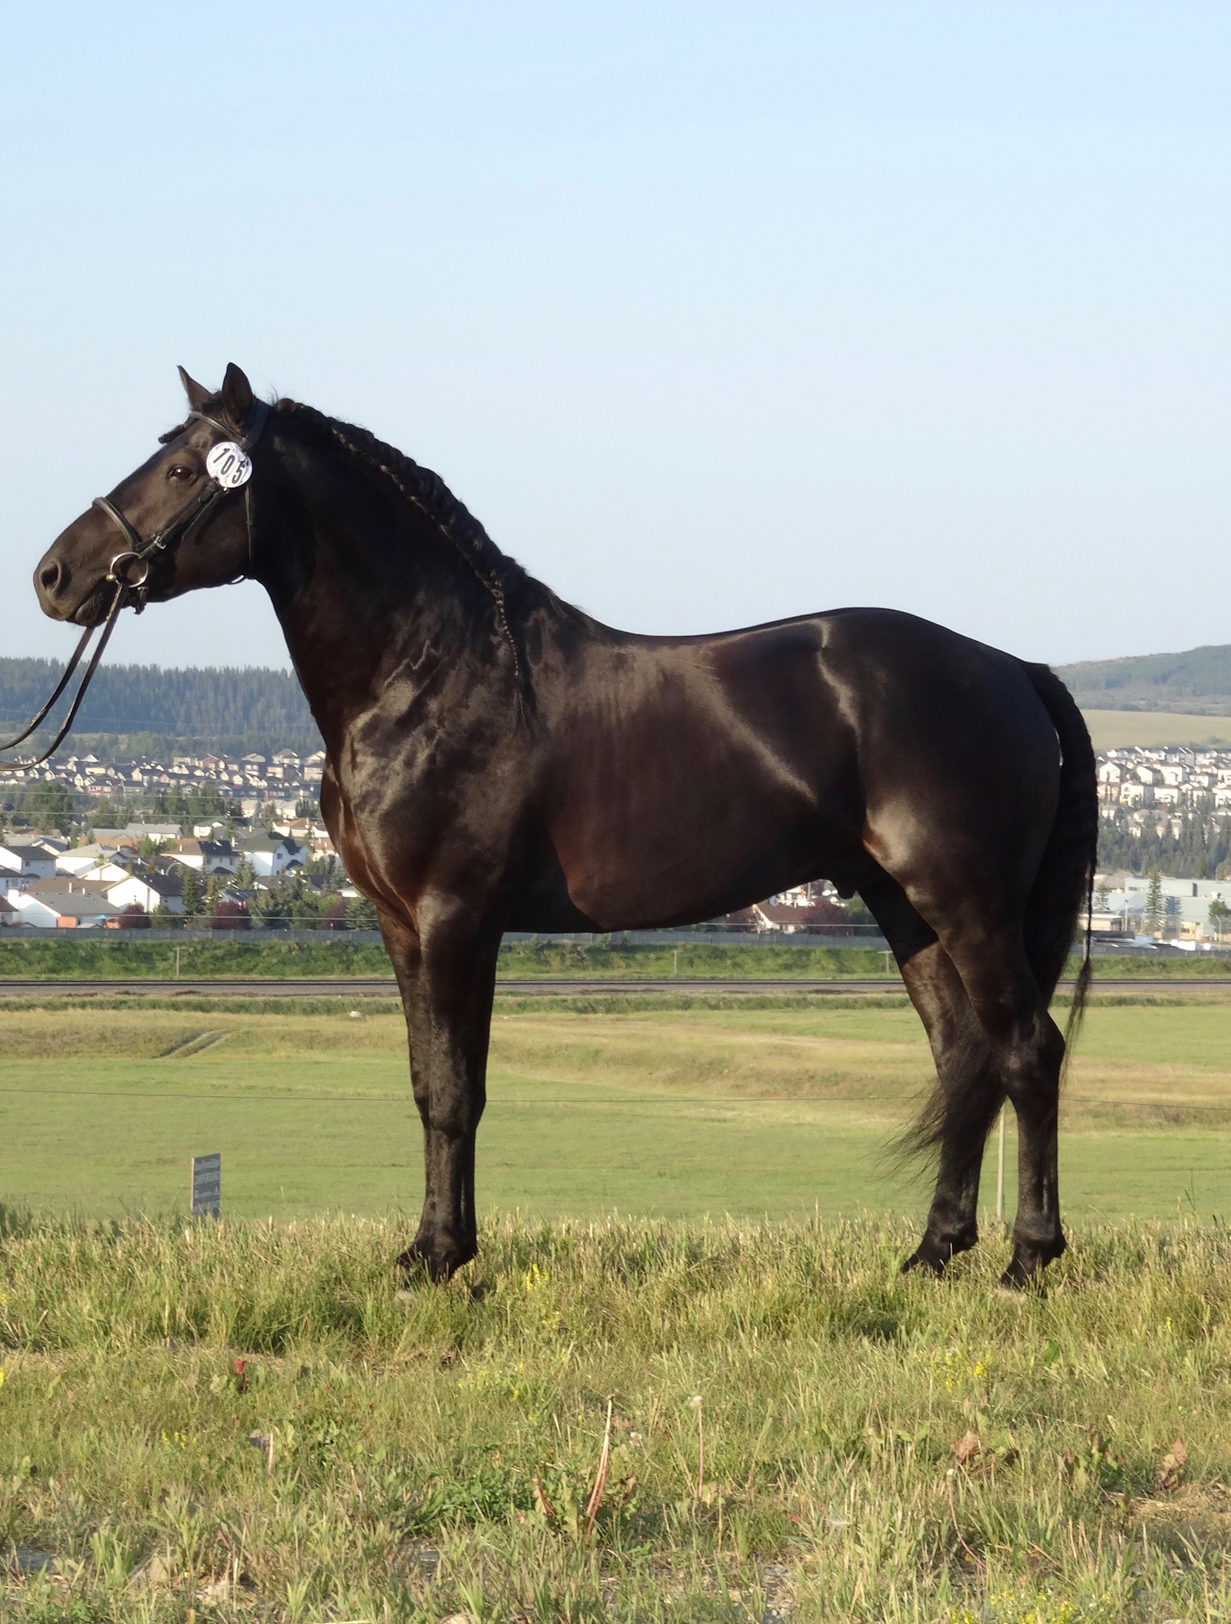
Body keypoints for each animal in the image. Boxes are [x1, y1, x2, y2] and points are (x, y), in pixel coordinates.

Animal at [32, 363, 1097, 1288]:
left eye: (182, 471)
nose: (54, 575)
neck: (432, 672)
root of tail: (1011, 669)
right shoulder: (401, 925)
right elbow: (433, 1085)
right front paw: (434, 1249)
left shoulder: (456, 917)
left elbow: (455, 1091)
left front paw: (441, 1260)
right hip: (903, 906)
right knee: (965, 1061)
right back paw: (931, 1254)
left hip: (965, 903)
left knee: (1026, 1051)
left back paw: (1027, 1261)